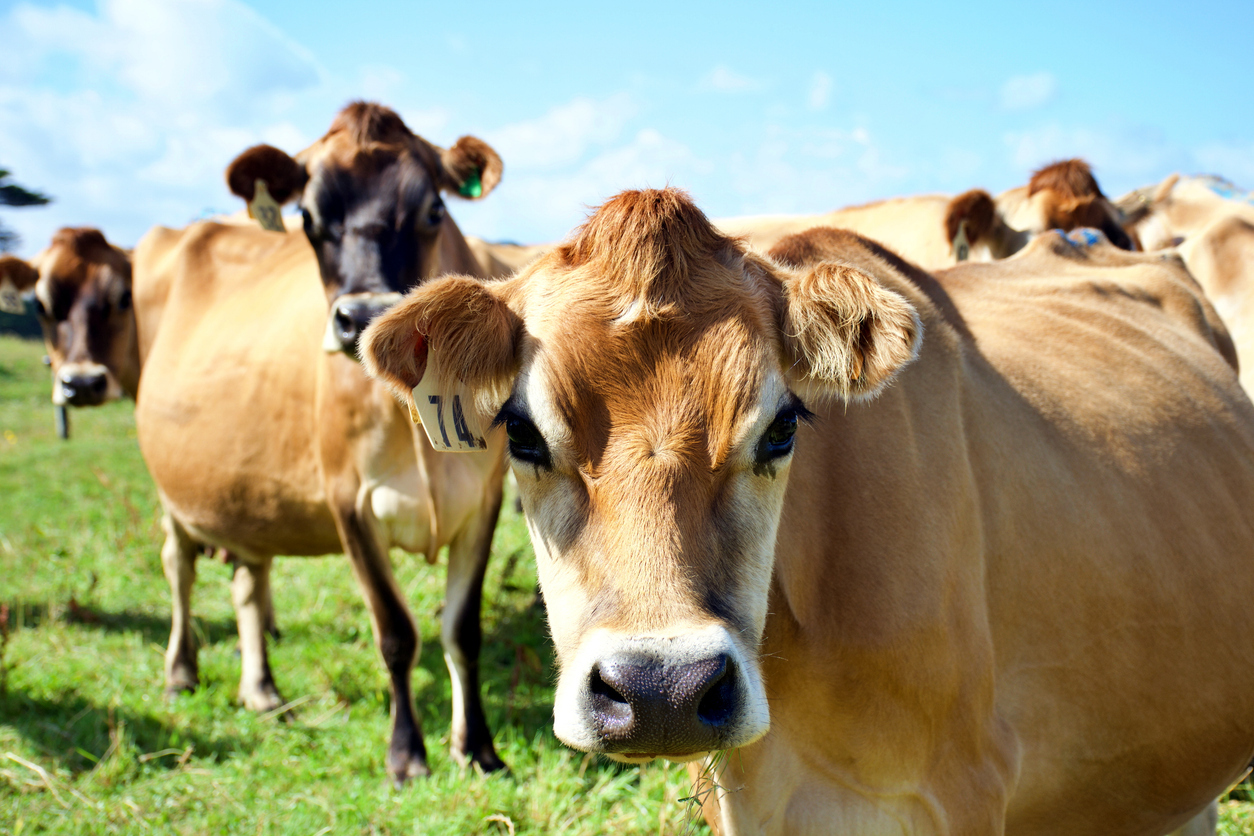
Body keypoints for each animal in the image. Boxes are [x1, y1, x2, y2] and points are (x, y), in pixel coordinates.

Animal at [133, 101, 509, 784]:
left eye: (433, 210)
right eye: (307, 218)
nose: (360, 317)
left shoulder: (485, 498)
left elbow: (461, 630)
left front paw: (478, 748)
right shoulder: (347, 502)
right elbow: (396, 634)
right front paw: (406, 753)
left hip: (245, 492)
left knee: (247, 578)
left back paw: (261, 689)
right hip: (168, 483)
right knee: (178, 567)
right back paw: (180, 672)